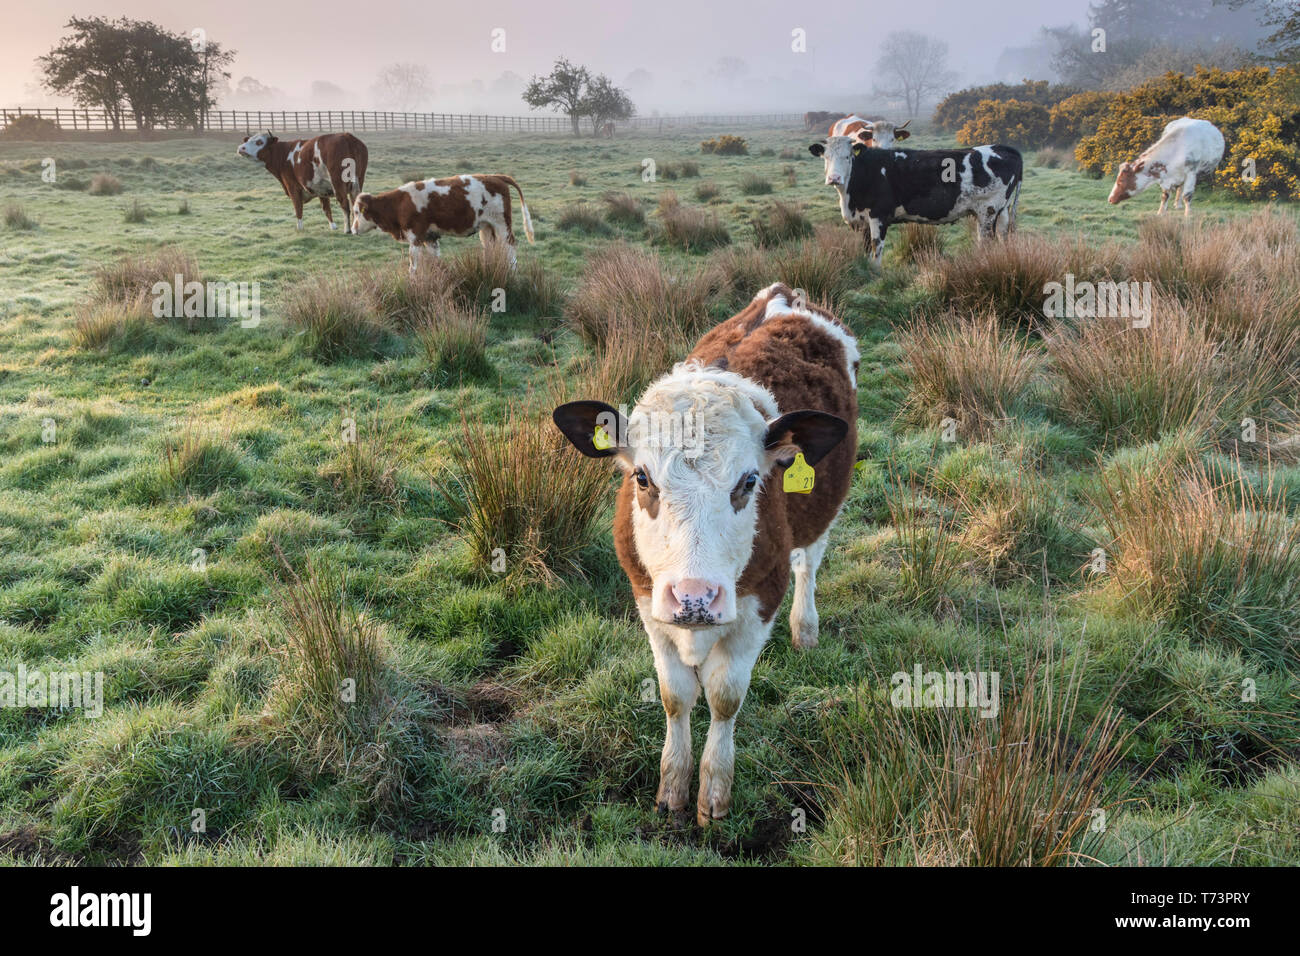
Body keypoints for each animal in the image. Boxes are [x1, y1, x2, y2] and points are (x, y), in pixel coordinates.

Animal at [236, 131, 367, 233]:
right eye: (248, 140)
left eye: (259, 142)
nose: (241, 148)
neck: (283, 154)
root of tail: (347, 136)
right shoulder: (321, 189)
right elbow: (326, 209)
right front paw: (333, 226)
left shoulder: (292, 187)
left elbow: (298, 207)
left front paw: (299, 228)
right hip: (358, 181)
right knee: (356, 203)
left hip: (338, 182)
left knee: (344, 204)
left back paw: (347, 229)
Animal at [350, 174, 535, 273]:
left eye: (357, 212)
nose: (352, 230)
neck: (400, 203)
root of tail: (495, 176)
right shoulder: (430, 238)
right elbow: (435, 261)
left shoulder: (416, 238)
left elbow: (413, 265)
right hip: (486, 227)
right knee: (492, 247)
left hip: (502, 224)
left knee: (509, 246)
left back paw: (512, 271)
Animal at [552, 282, 858, 826]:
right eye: (642, 478)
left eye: (750, 481)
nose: (695, 598)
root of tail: (785, 295)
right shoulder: (647, 598)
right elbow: (675, 696)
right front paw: (672, 786)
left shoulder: (760, 600)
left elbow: (724, 697)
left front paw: (714, 790)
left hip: (823, 512)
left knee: (810, 562)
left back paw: (806, 627)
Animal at [809, 136, 1023, 262]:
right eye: (826, 157)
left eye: (847, 157)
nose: (834, 178)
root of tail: (1003, 147)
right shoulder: (862, 220)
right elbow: (866, 248)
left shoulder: (879, 215)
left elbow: (876, 248)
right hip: (1001, 212)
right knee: (1003, 236)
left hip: (987, 211)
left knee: (986, 241)